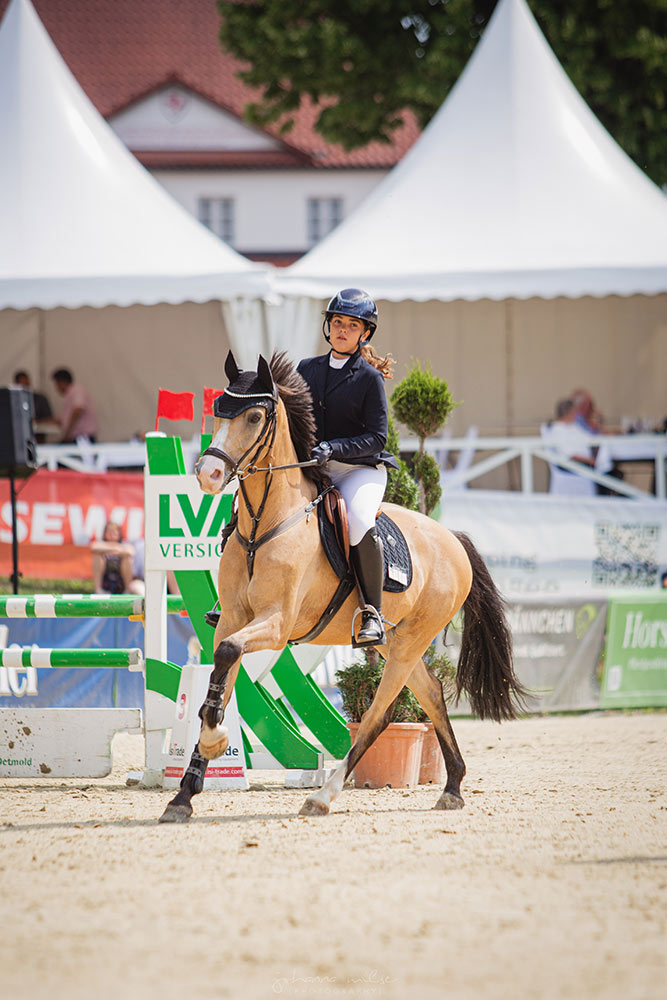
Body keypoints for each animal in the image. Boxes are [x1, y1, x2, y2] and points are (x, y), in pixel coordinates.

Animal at [158, 351, 526, 823]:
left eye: (255, 416)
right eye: (218, 412)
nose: (209, 473)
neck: (266, 522)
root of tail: (452, 539)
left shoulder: (275, 624)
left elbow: (225, 659)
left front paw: (215, 745)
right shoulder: (234, 620)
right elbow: (217, 684)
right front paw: (184, 793)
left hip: (410, 640)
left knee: (379, 715)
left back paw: (323, 795)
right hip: (396, 640)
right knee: (431, 693)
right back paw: (453, 787)